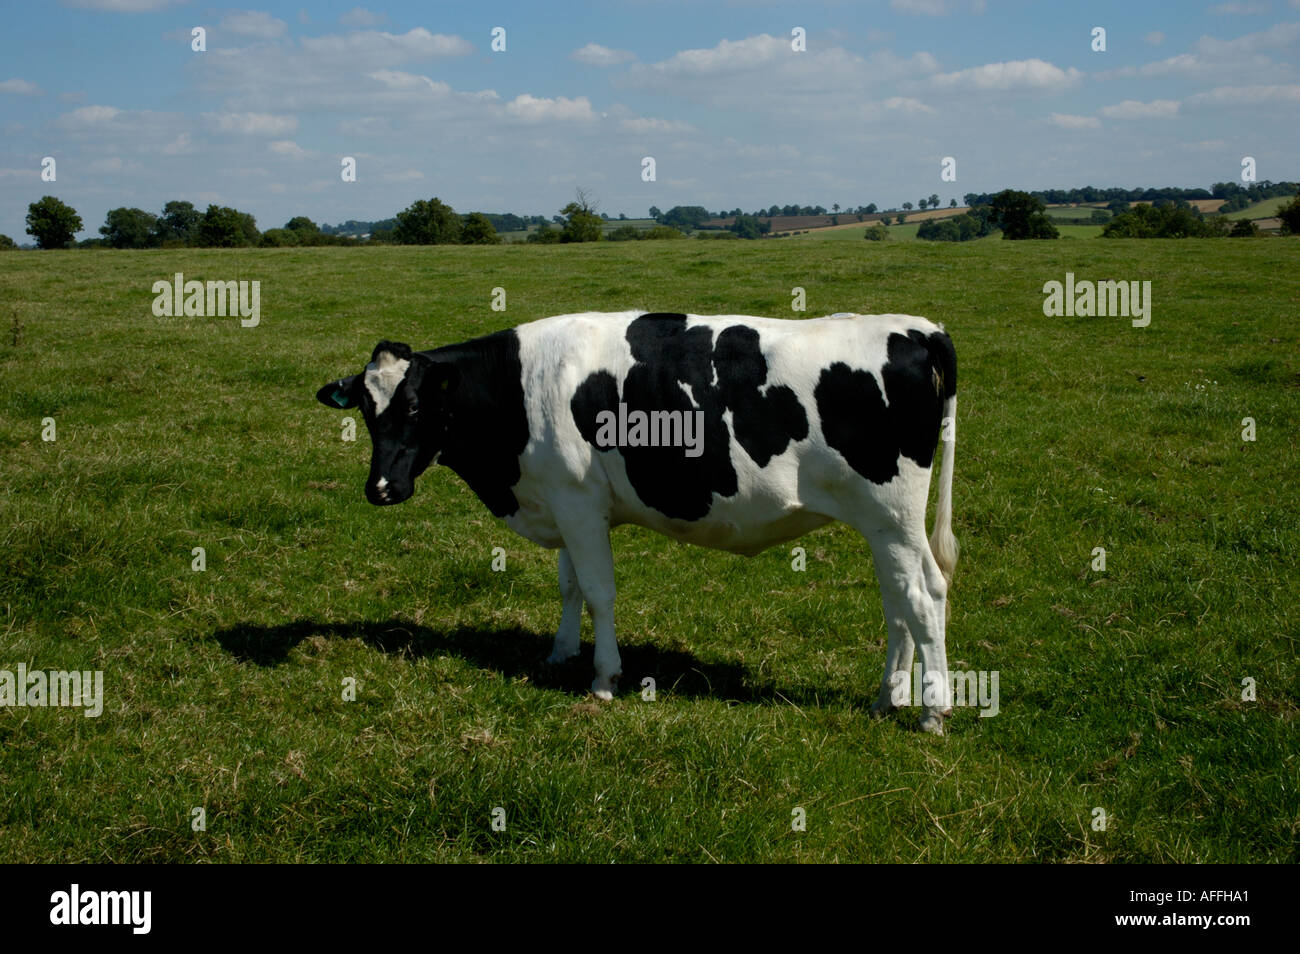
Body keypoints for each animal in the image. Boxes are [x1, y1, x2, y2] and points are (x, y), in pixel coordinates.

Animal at [316, 311, 959, 732]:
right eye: (367, 411)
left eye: (416, 406)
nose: (381, 489)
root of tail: (920, 329)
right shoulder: (562, 497)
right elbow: (570, 585)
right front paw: (560, 653)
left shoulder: (578, 502)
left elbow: (599, 590)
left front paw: (604, 679)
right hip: (886, 527)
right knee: (905, 598)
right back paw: (888, 698)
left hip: (892, 515)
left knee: (921, 598)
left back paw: (933, 711)